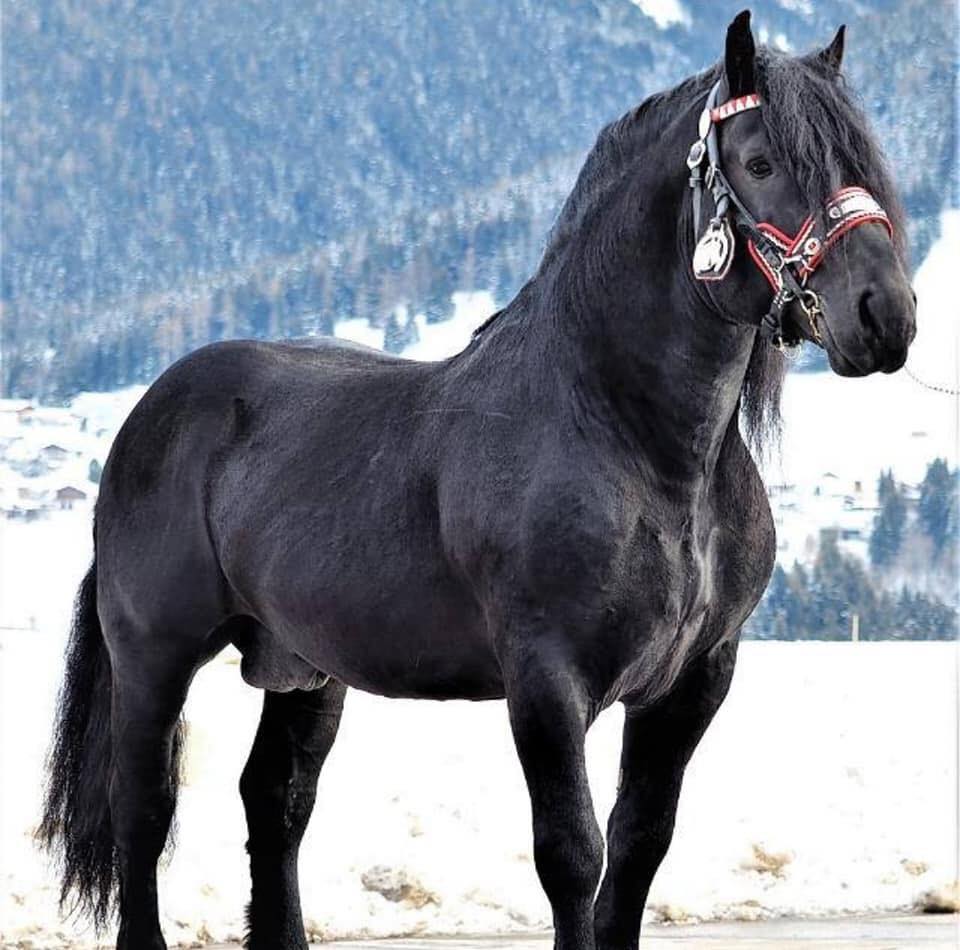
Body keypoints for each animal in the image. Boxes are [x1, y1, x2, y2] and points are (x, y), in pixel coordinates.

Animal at [39, 10, 916, 950]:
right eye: (758, 163)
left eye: (863, 160)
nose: (885, 316)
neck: (634, 441)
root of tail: (149, 416)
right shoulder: (546, 679)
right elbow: (572, 853)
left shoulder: (693, 684)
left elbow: (640, 846)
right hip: (154, 655)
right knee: (143, 812)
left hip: (305, 669)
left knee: (273, 805)